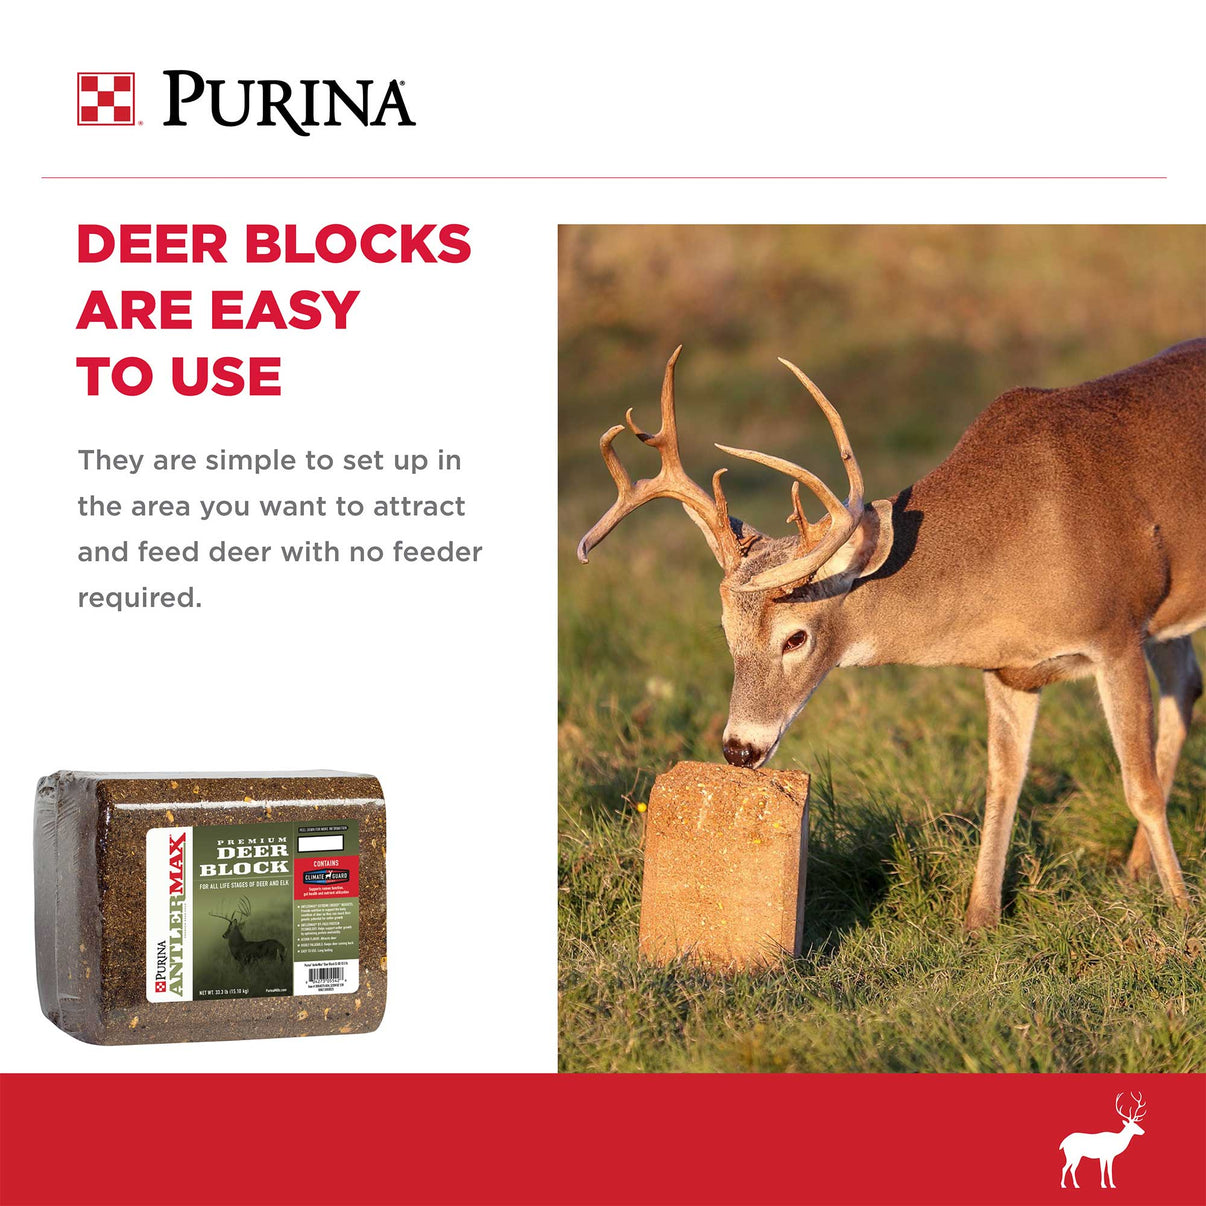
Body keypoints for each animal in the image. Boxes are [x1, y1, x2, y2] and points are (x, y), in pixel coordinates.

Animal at [577, 340, 1205, 929]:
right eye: (726, 630)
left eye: (796, 638)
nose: (738, 749)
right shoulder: (1008, 669)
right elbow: (1002, 783)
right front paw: (979, 919)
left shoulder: (1117, 631)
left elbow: (1140, 787)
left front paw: (1180, 912)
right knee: (1187, 685)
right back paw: (1135, 868)